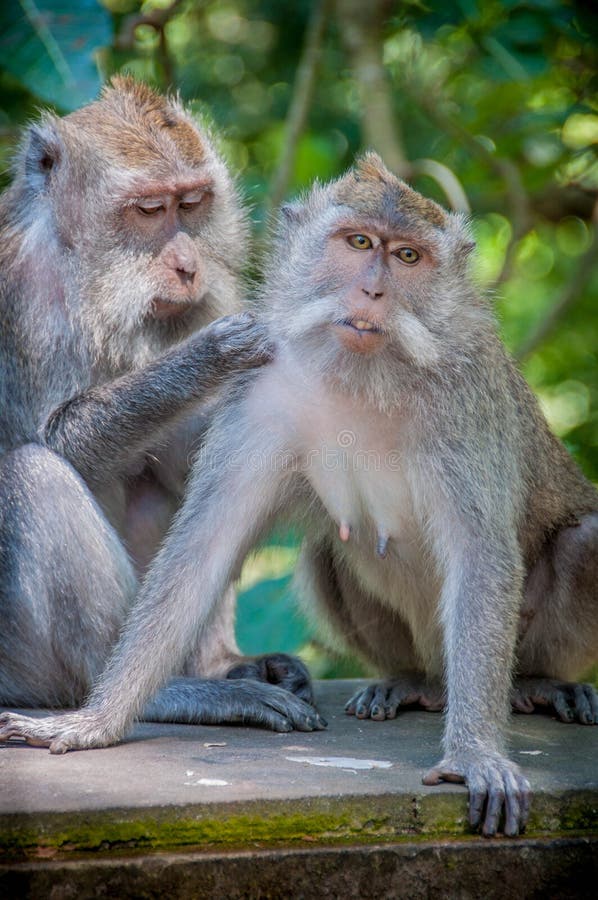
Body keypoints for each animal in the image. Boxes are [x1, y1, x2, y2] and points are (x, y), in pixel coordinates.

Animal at [0, 76, 324, 734]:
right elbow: (51, 438)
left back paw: (221, 666)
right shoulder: (25, 291)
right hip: (21, 670)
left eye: (192, 203)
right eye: (150, 210)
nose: (187, 265)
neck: (83, 270)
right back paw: (144, 696)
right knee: (30, 473)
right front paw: (212, 353)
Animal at [2, 153, 597, 836]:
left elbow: (481, 557)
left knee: (585, 542)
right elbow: (204, 544)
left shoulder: (466, 396)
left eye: (408, 257)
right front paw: (92, 722)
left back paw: (537, 685)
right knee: (326, 553)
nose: (373, 292)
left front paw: (475, 755)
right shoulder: (266, 390)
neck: (367, 375)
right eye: (359, 243)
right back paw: (411, 681)